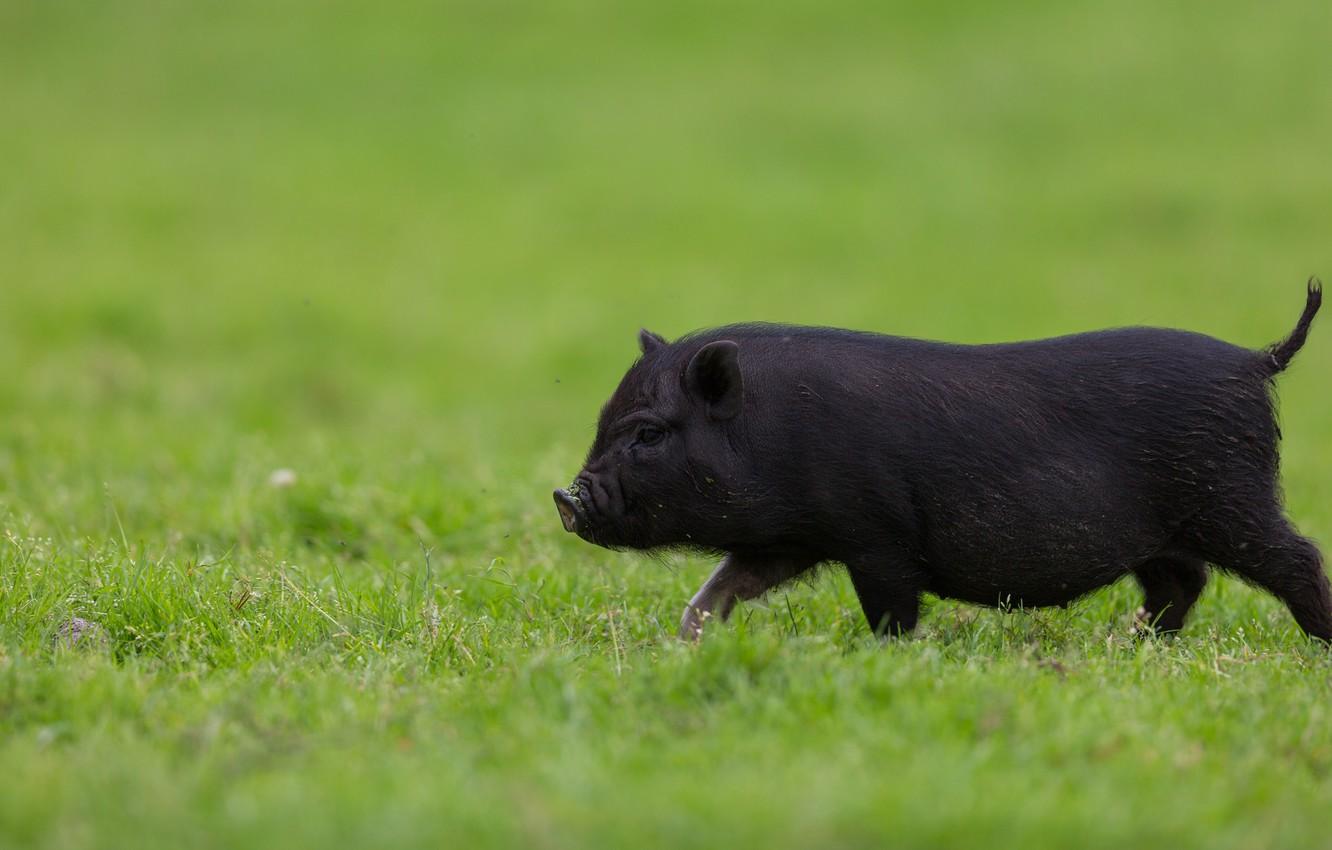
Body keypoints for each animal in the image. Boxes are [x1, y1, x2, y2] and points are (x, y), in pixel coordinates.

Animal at [553, 281, 1330, 642]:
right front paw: (686, 642)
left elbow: (892, 611)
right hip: (1172, 527)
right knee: (1180, 581)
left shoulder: (877, 537)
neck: (773, 428)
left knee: (1297, 557)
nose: (566, 497)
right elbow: (723, 586)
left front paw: (884, 657)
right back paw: (1131, 644)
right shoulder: (791, 538)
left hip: (1231, 496)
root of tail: (1255, 360)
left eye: (649, 435)